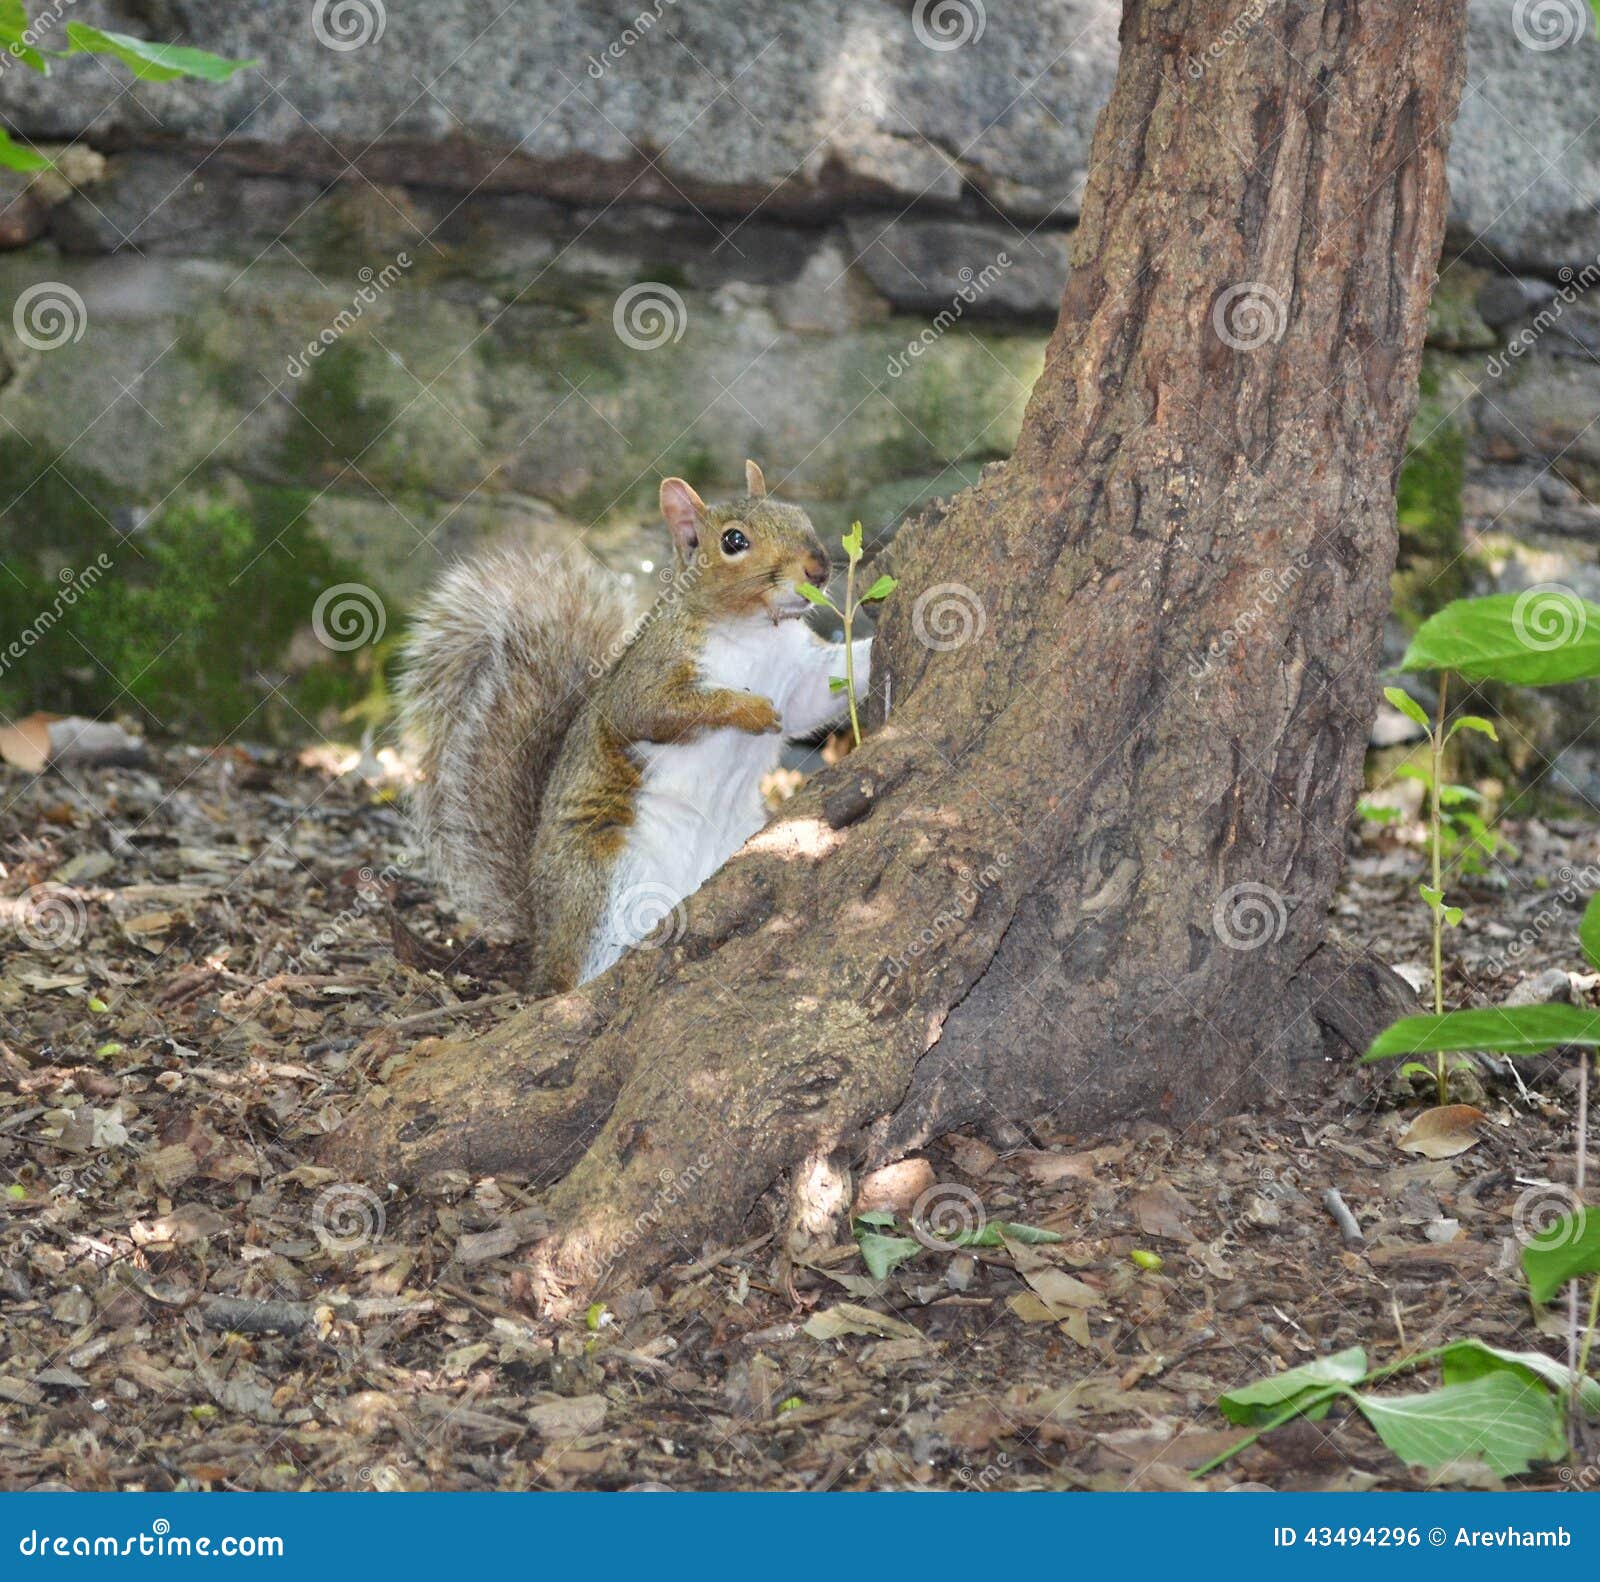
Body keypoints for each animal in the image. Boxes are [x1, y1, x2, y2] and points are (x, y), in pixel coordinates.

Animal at [398, 461, 871, 995]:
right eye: (733, 541)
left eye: (799, 515)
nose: (818, 569)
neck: (755, 634)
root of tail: (540, 929)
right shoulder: (648, 680)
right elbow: (656, 711)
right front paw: (747, 711)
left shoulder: (798, 678)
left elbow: (822, 694)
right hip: (600, 875)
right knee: (575, 974)